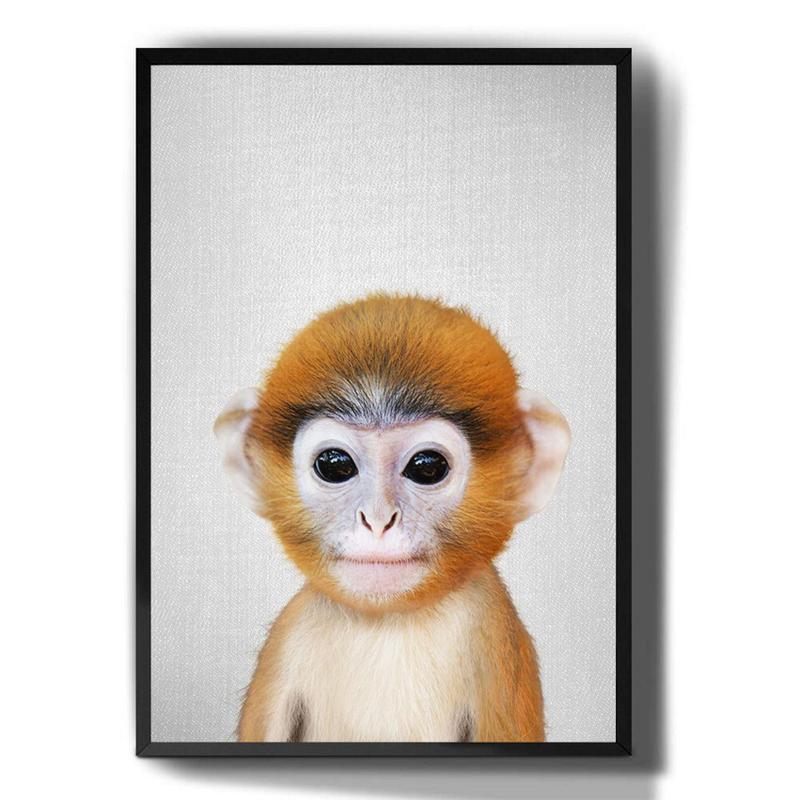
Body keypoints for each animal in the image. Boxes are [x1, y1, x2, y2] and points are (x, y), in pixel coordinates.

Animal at [214, 294, 571, 743]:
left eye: (427, 467)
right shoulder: (286, 641)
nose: (378, 520)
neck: (387, 623)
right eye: (334, 465)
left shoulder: (495, 642)